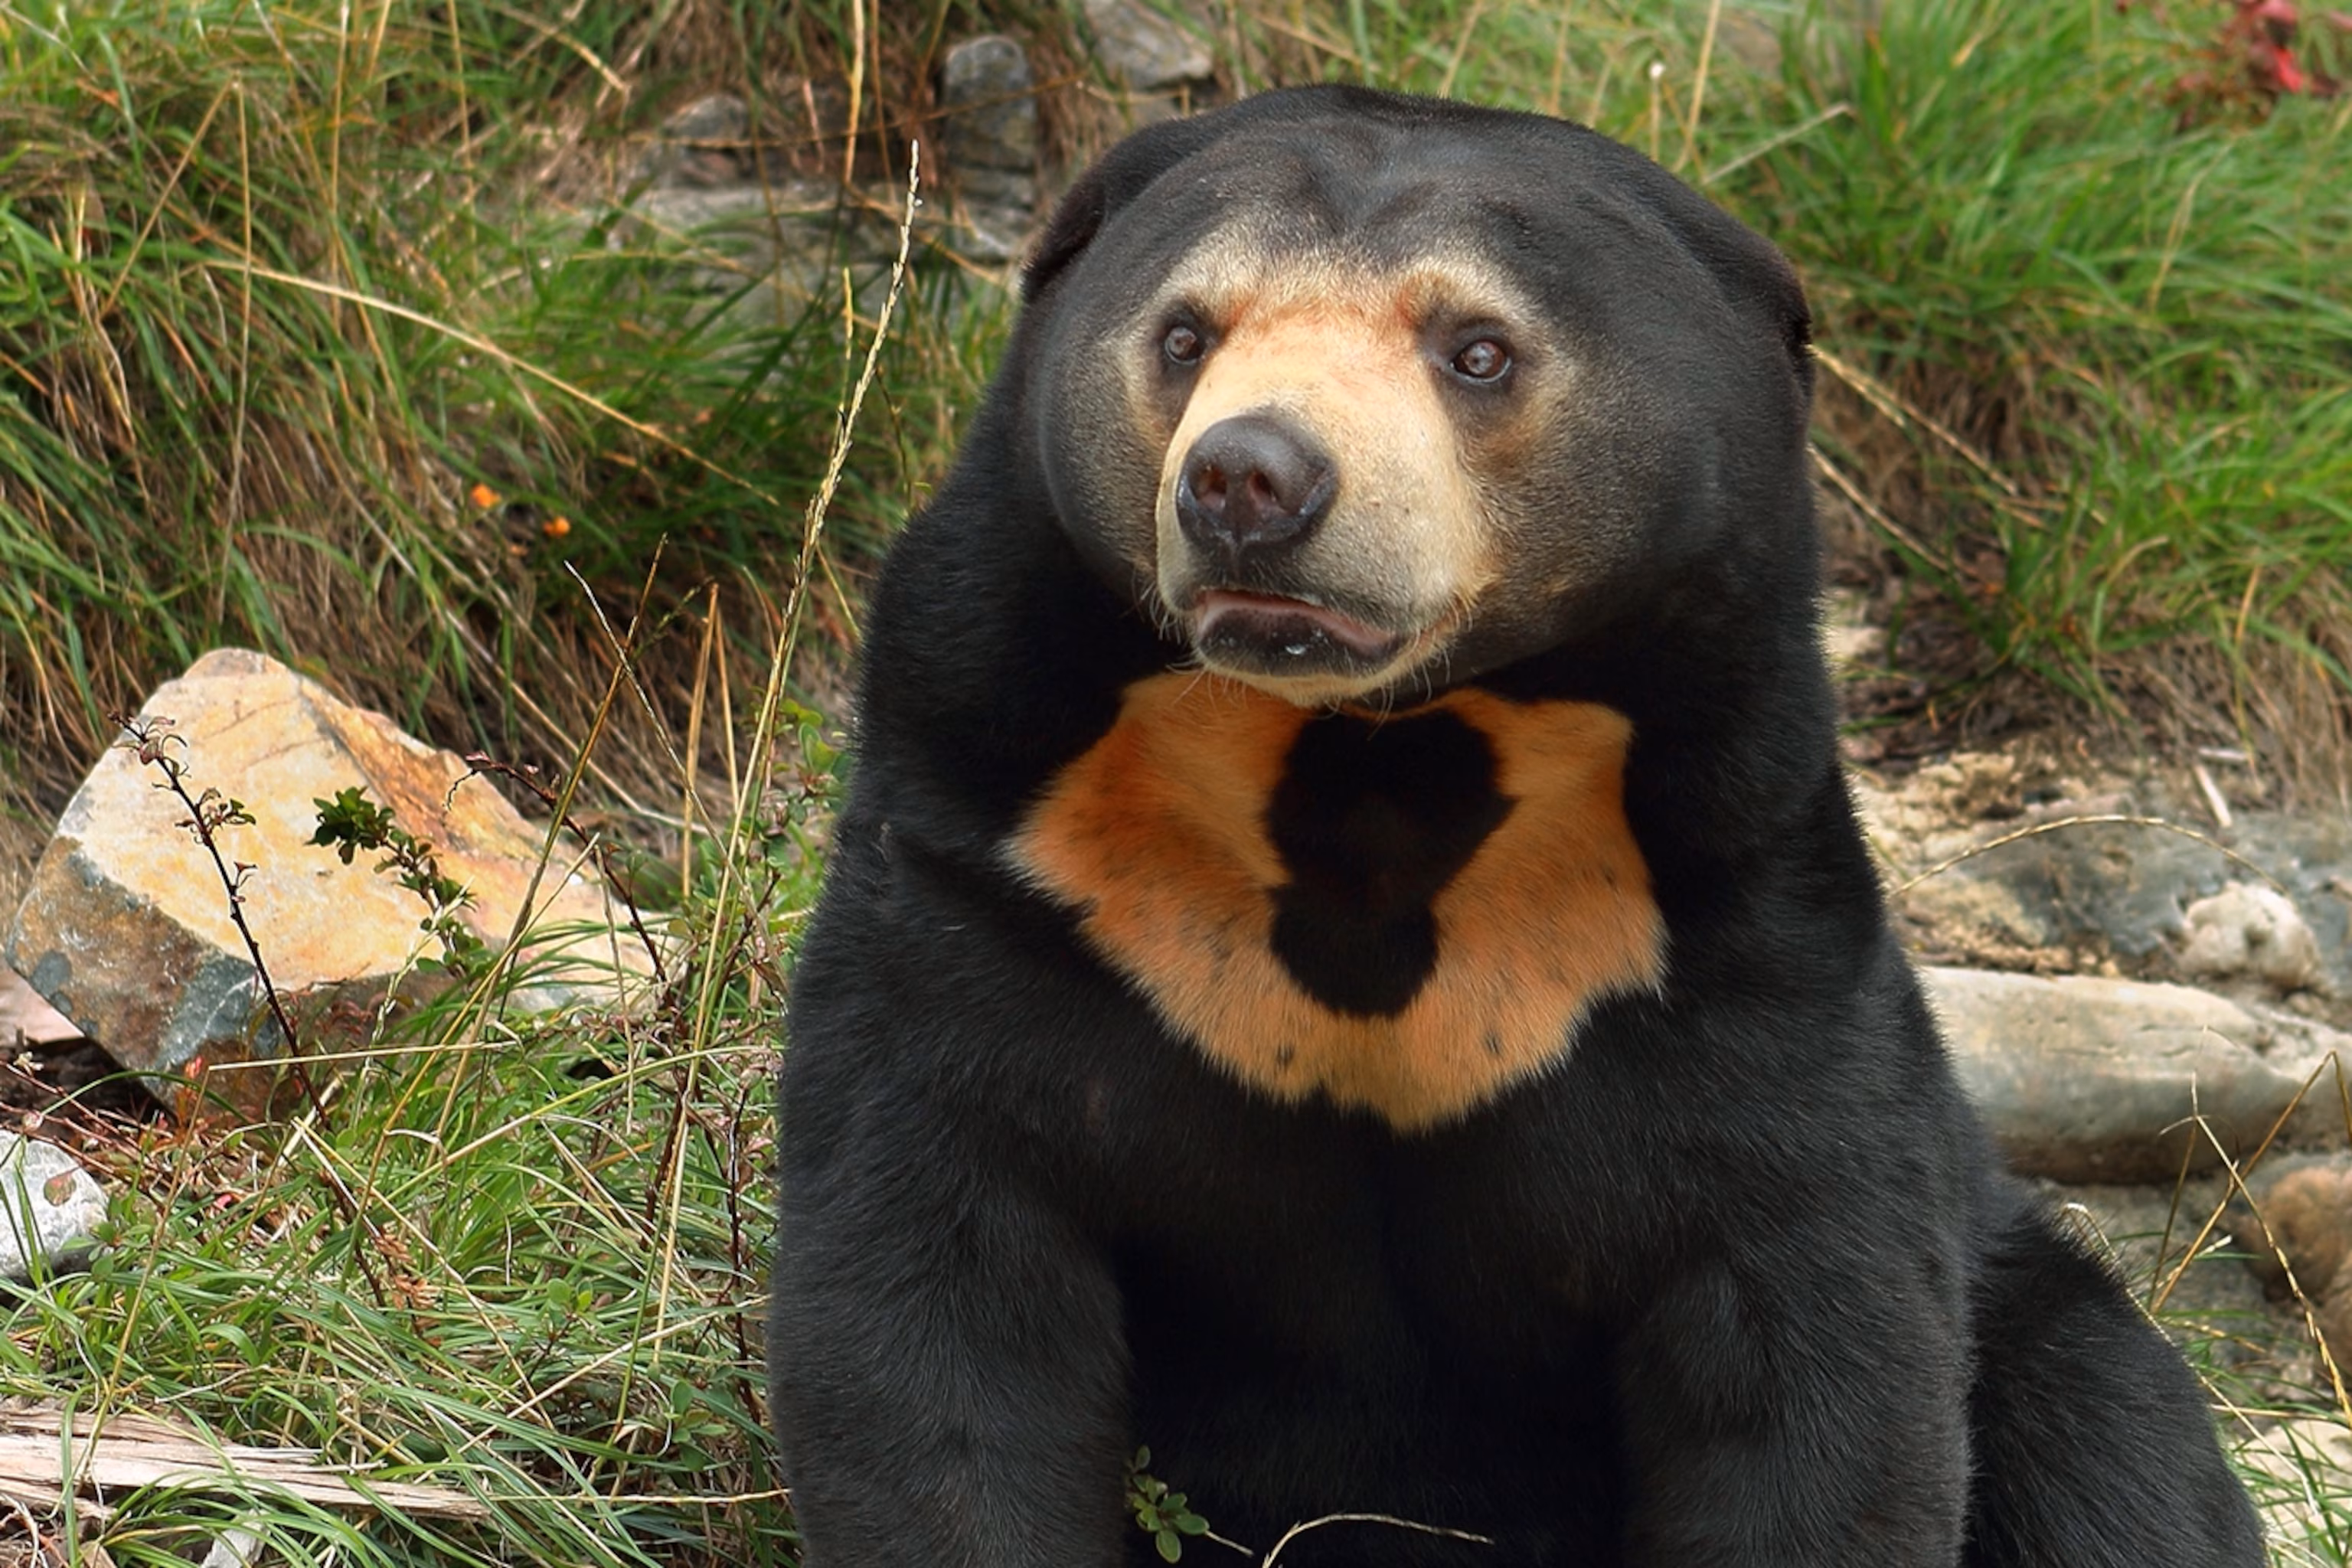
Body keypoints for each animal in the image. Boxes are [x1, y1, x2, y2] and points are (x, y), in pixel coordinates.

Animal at [767, 85, 2264, 1567]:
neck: (1369, 761)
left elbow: (1809, 1343)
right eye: (1186, 333)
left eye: (1475, 350)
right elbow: (940, 1284)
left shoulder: (1727, 917)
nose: (1248, 480)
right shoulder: (1009, 863)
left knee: (2109, 1444)